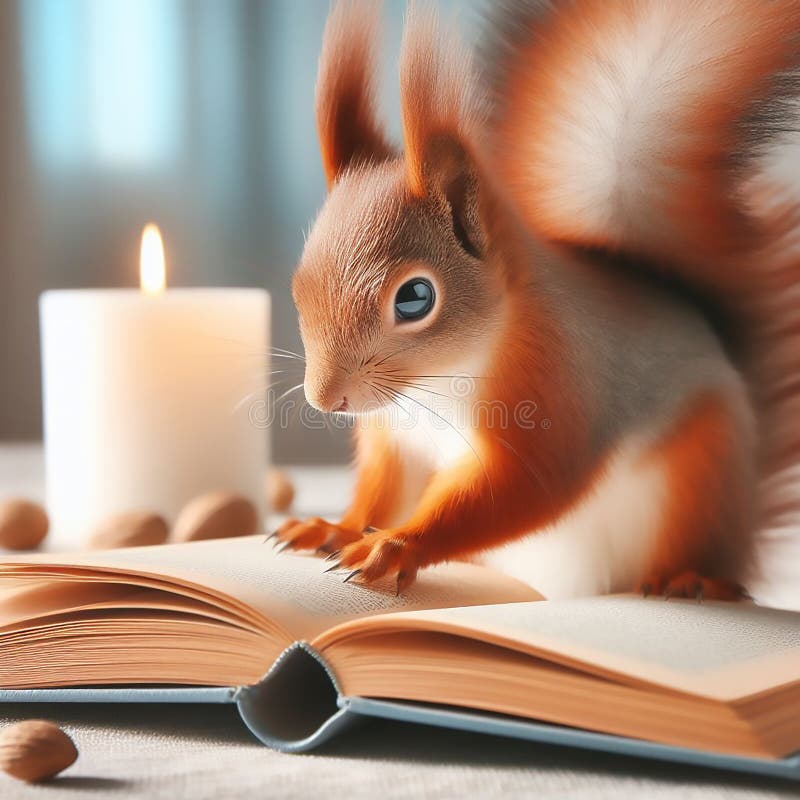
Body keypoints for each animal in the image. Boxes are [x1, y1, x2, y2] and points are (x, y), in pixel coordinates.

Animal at [275, 0, 800, 601]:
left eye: (414, 298)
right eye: (298, 286)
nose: (325, 400)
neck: (441, 380)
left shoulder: (555, 383)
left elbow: (530, 484)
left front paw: (399, 545)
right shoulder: (397, 439)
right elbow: (383, 491)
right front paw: (334, 528)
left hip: (701, 478)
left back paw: (690, 578)